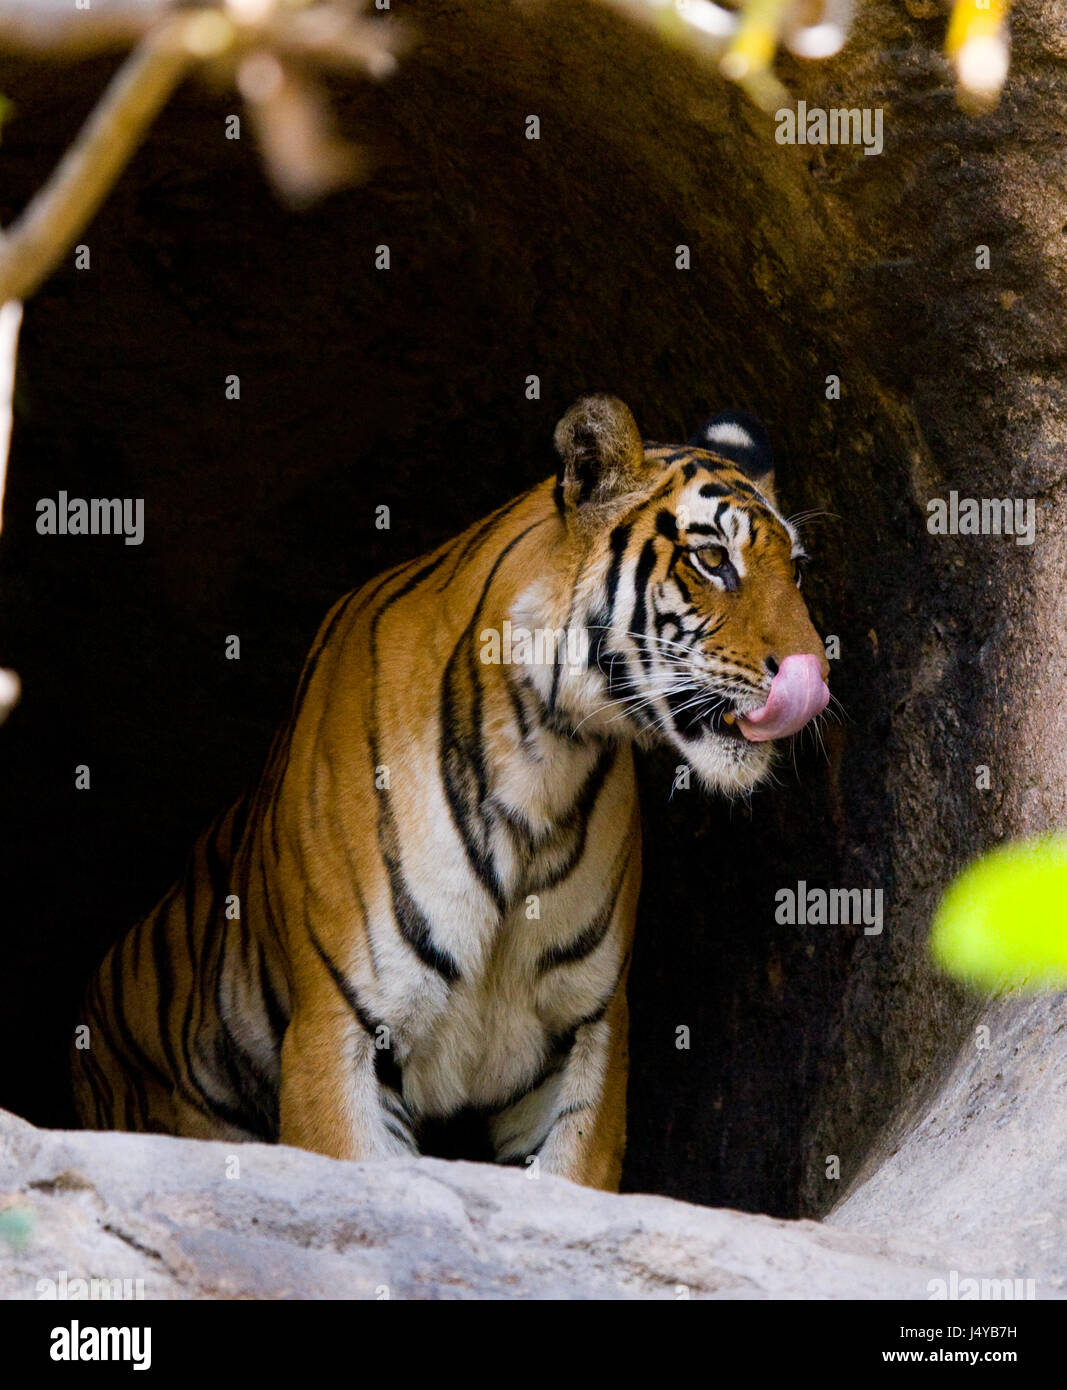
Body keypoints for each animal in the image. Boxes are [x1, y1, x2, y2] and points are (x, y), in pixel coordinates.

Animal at [72, 394, 829, 1192]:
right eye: (712, 559)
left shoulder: (583, 1034)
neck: (544, 771)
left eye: (795, 571)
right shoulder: (339, 1029)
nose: (815, 672)